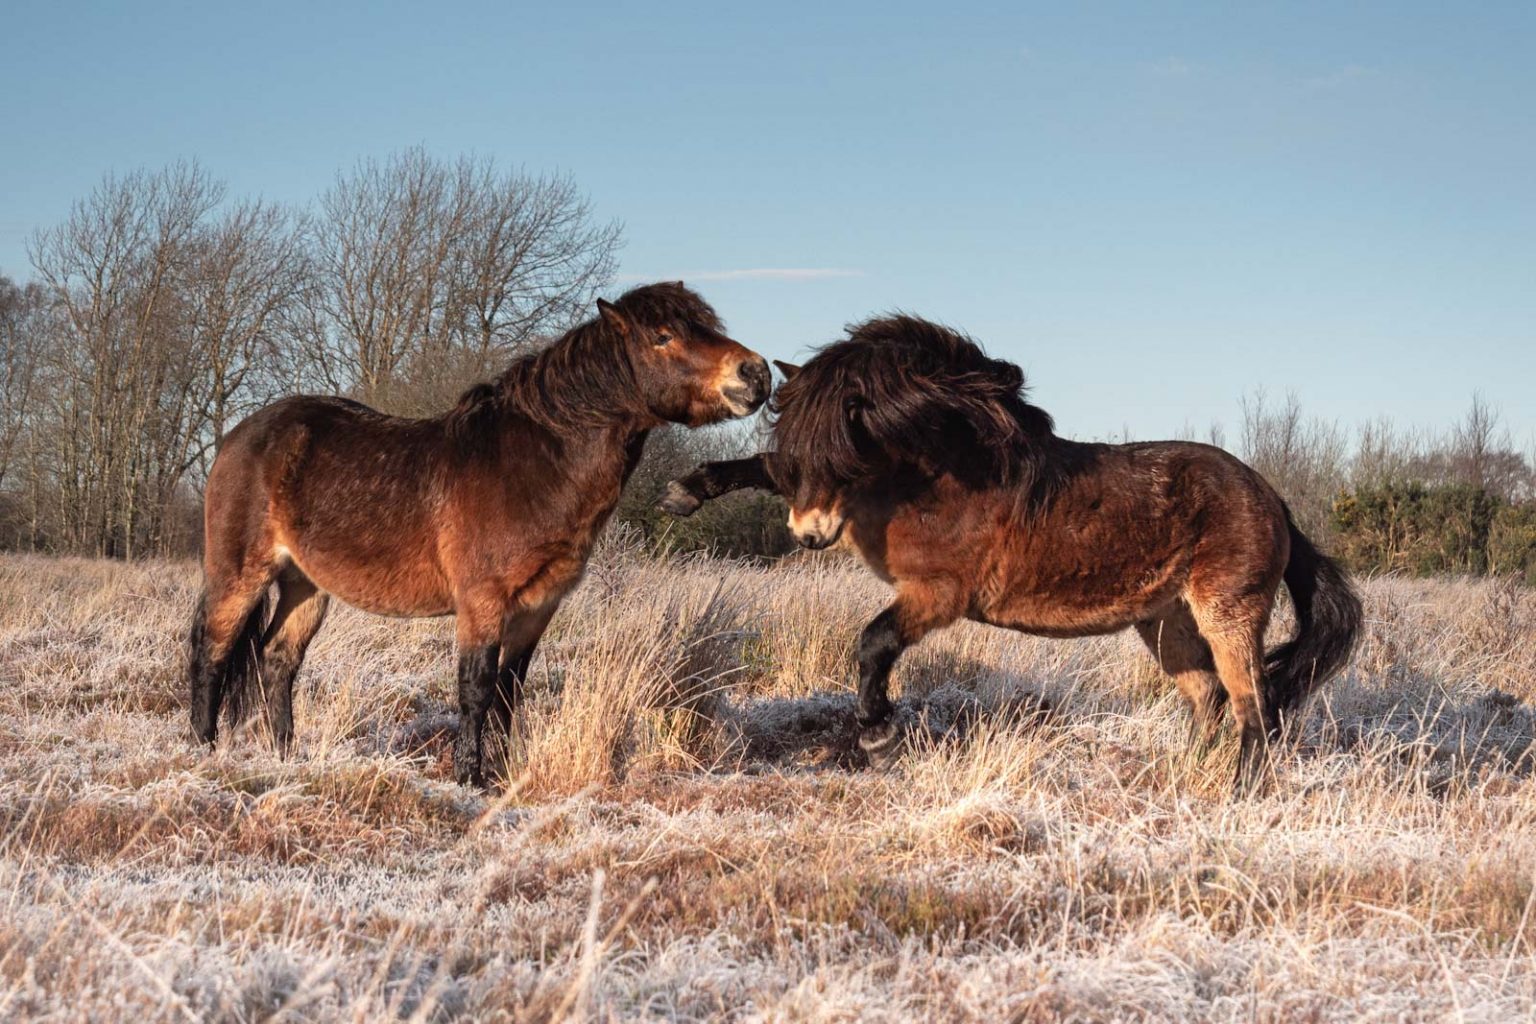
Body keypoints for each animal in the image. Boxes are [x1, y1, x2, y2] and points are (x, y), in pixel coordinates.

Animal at [188, 282, 771, 787]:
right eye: (663, 336)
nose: (756, 374)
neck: (529, 467)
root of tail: (240, 436)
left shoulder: (537, 608)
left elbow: (509, 693)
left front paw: (504, 774)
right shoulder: (481, 603)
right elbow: (475, 690)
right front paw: (469, 780)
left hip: (305, 585)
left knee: (276, 660)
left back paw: (288, 758)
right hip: (240, 575)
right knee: (212, 655)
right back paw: (202, 752)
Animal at [660, 315, 1361, 793]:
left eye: (844, 453)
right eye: (795, 442)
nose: (808, 536)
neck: (941, 475)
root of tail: (1274, 502)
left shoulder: (939, 594)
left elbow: (873, 643)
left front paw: (879, 738)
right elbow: (762, 467)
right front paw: (685, 492)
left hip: (1227, 616)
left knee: (1253, 707)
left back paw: (1238, 793)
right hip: (1167, 623)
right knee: (1208, 698)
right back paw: (1183, 774)